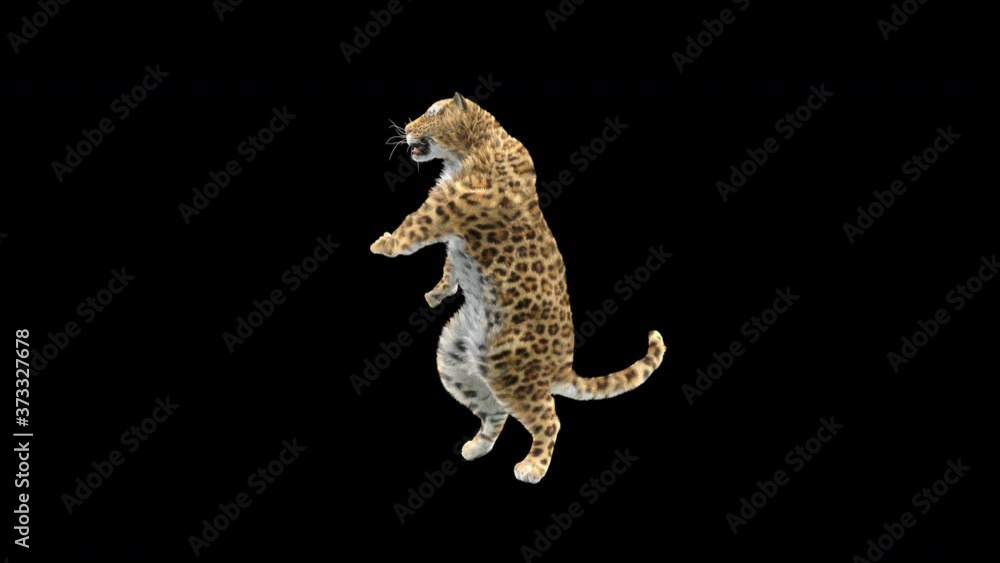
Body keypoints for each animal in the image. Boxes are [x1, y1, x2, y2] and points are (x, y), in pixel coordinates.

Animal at [371, 93, 666, 484]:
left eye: (431, 114)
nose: (405, 128)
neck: (467, 150)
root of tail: (561, 367)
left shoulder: (449, 206)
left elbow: (415, 225)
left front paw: (385, 244)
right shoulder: (453, 224)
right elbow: (449, 262)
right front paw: (437, 293)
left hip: (510, 370)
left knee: (548, 417)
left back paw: (532, 468)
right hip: (454, 359)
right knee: (495, 412)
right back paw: (475, 448)